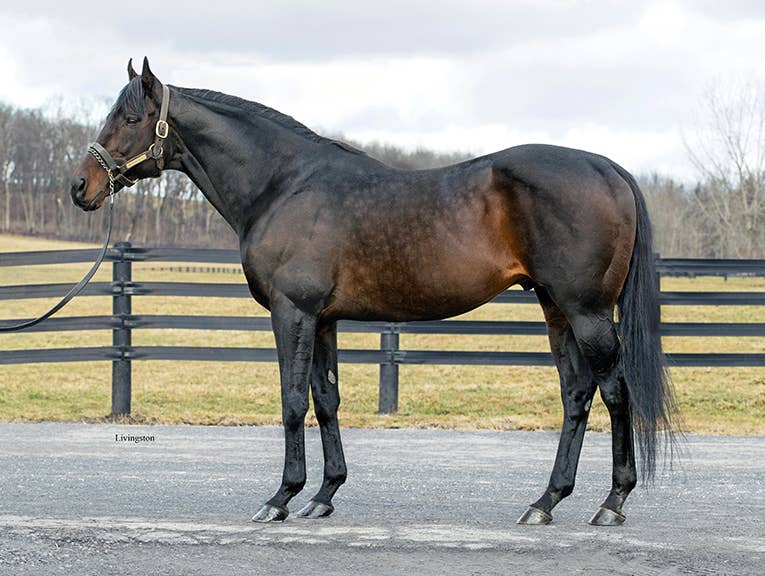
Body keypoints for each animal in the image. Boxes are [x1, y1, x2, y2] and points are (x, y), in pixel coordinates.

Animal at [71, 58, 676, 526]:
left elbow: (292, 401)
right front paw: (323, 495)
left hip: (588, 311)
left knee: (614, 391)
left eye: (130, 117)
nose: (81, 187)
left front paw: (280, 498)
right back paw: (545, 502)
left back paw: (612, 502)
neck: (283, 184)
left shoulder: (293, 313)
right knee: (576, 395)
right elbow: (326, 399)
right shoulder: (322, 319)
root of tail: (608, 168)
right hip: (556, 308)